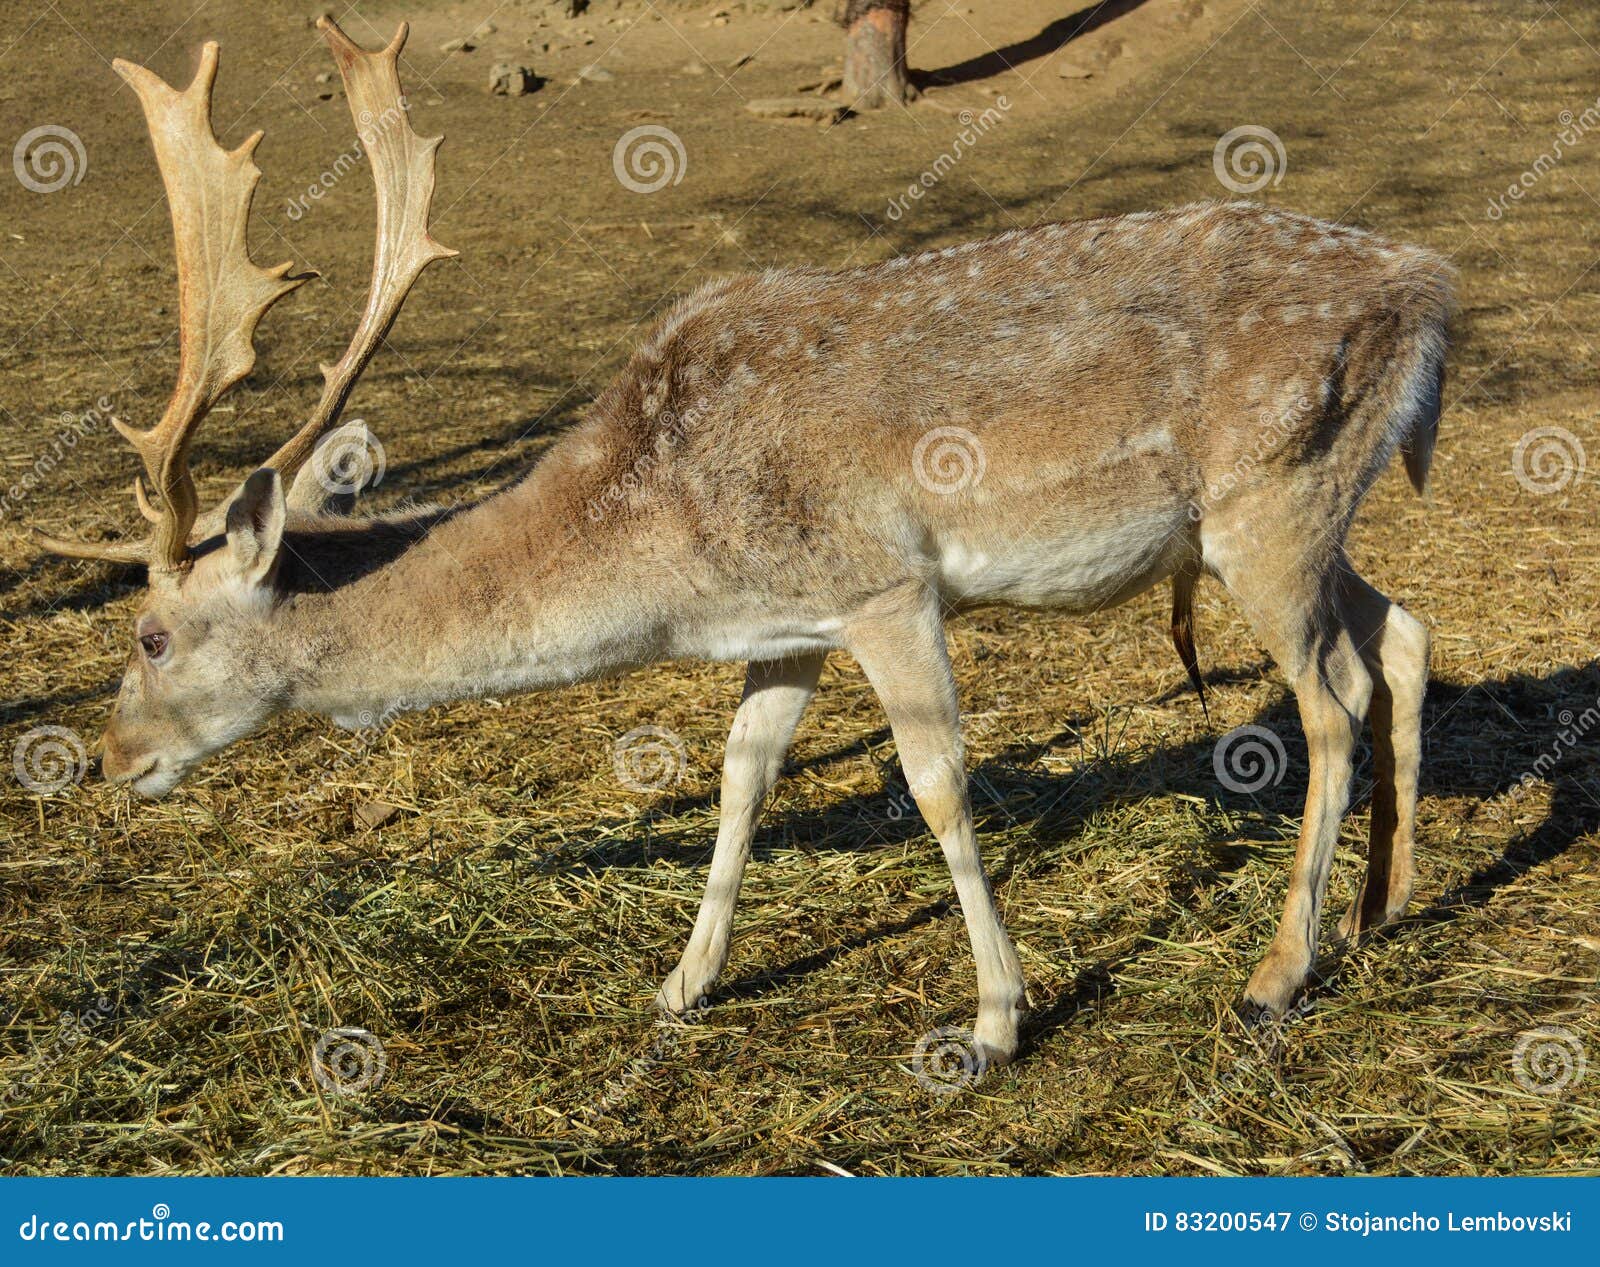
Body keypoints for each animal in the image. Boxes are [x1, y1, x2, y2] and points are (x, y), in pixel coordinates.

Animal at [36, 18, 1453, 1070]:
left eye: (150, 633)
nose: (108, 758)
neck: (678, 553)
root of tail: (1430, 289)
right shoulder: (789, 625)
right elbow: (738, 774)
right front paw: (682, 982)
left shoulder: (883, 586)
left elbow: (937, 786)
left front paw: (995, 1020)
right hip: (1291, 514)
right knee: (1403, 628)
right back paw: (1383, 902)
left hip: (1269, 502)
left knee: (1328, 696)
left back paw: (1277, 972)